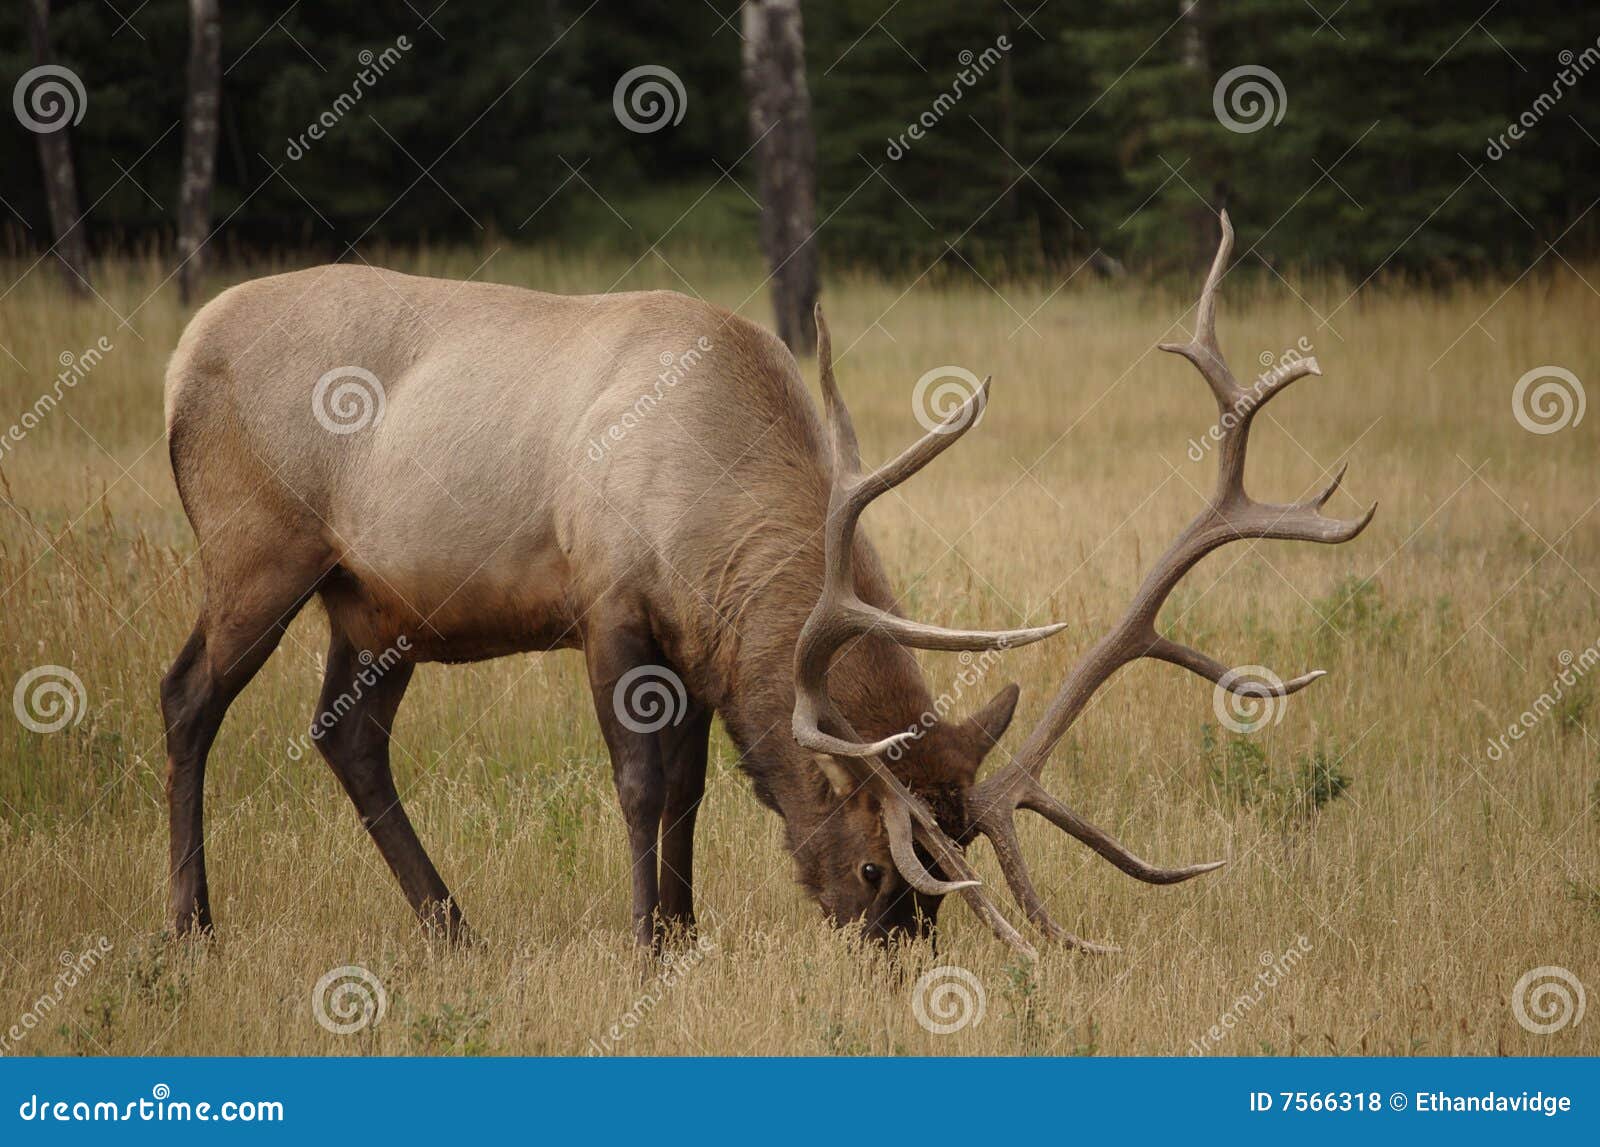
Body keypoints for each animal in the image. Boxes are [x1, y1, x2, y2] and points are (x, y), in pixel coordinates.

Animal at [161, 212, 1372, 956]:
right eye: (885, 869)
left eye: (955, 858)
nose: (892, 953)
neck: (712, 499)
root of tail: (179, 355)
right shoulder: (609, 603)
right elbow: (639, 782)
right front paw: (645, 945)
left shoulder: (700, 645)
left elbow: (692, 788)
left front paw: (684, 932)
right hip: (258, 549)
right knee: (188, 697)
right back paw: (192, 925)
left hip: (374, 603)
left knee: (345, 734)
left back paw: (453, 927)